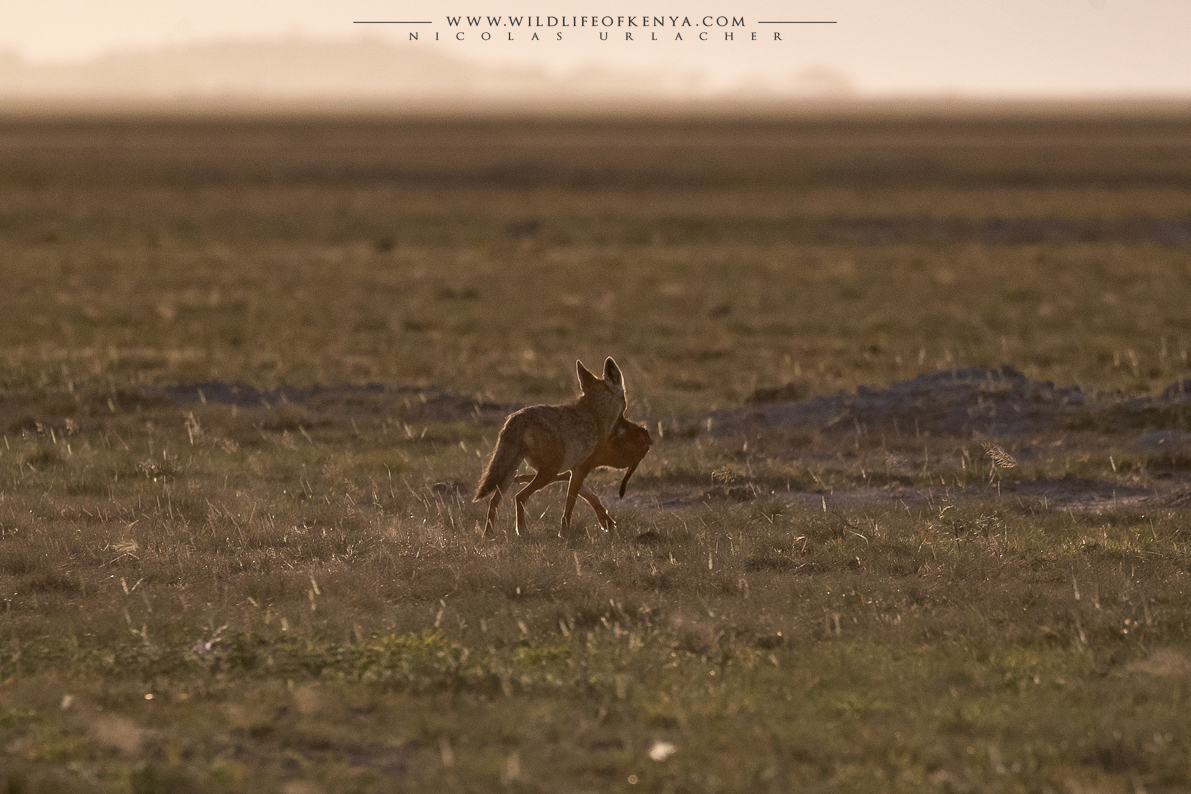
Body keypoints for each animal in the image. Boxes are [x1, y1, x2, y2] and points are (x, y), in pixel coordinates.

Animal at [473, 357, 626, 536]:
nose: (624, 419)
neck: (594, 414)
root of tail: (516, 419)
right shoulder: (579, 468)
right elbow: (570, 504)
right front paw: (564, 532)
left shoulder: (573, 469)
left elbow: (589, 495)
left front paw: (605, 520)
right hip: (546, 472)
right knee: (519, 497)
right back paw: (522, 531)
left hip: (512, 472)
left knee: (494, 501)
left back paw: (488, 534)